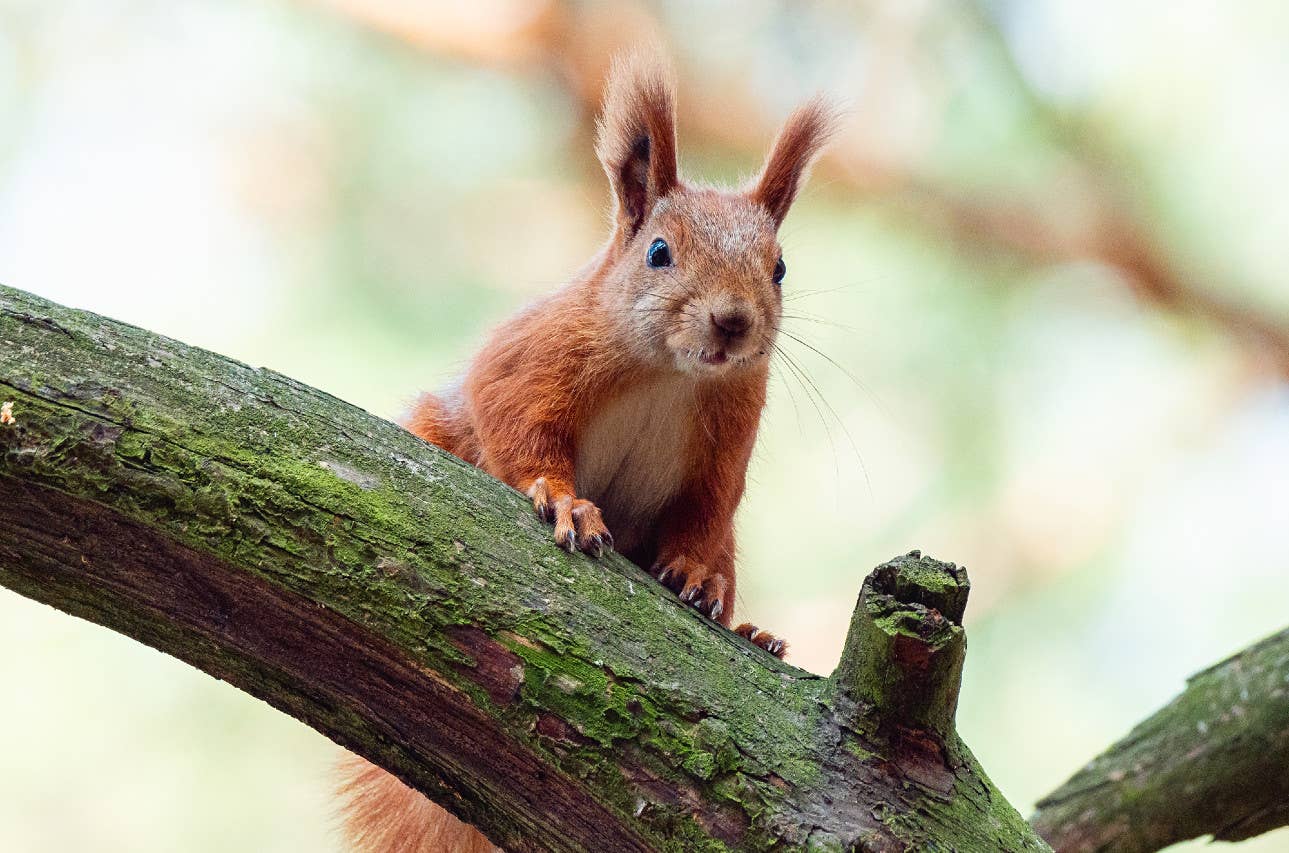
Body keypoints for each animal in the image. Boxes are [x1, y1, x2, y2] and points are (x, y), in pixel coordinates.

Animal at [339, 52, 835, 853]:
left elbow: (707, 509)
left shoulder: (729, 433)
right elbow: (519, 427)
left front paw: (694, 573)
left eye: (780, 268)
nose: (732, 321)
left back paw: (748, 629)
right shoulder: (533, 358)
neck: (671, 372)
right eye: (659, 252)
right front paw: (567, 503)